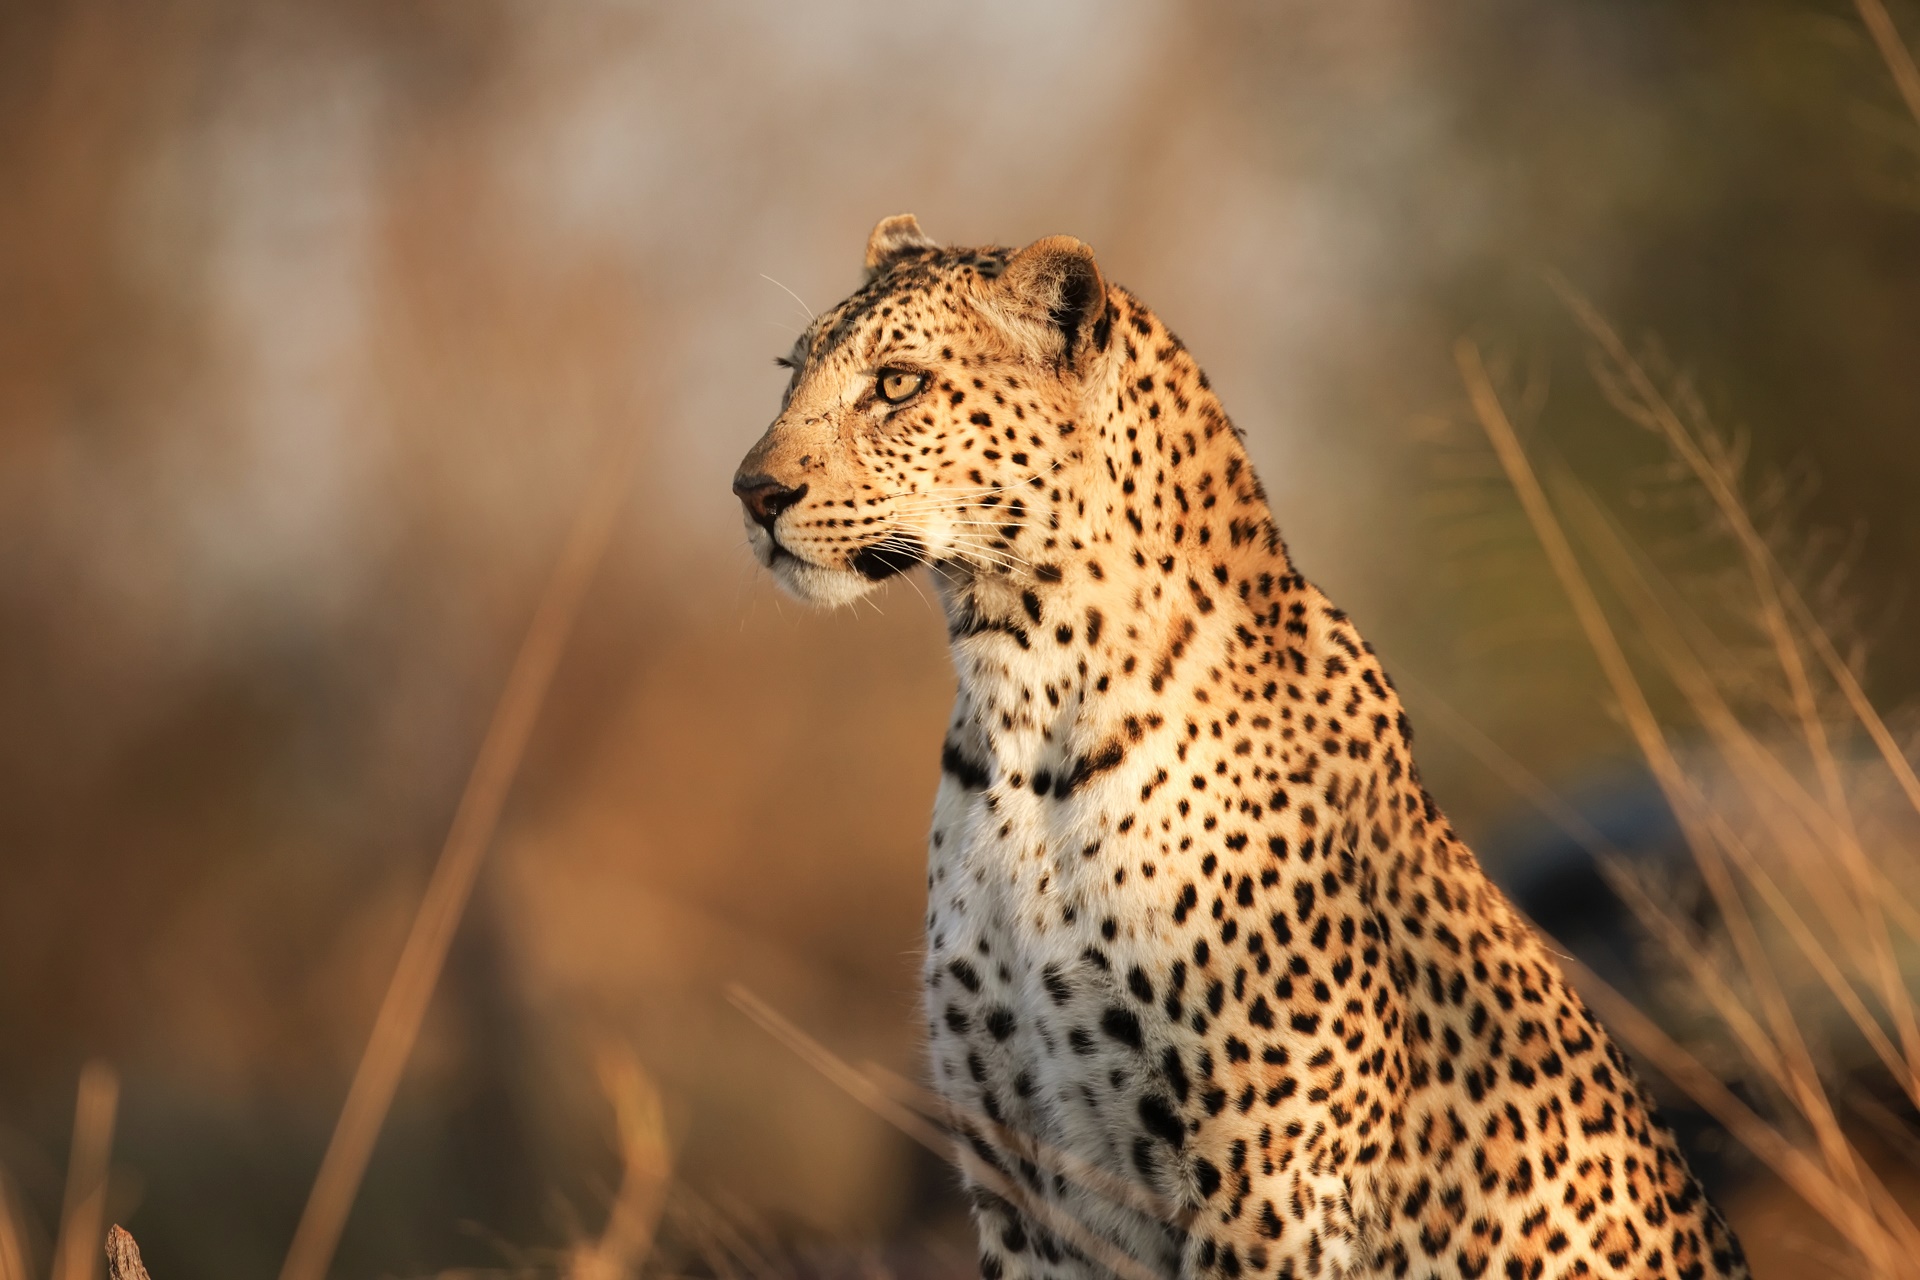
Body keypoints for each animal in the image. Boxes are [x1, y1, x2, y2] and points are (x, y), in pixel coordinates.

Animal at [731, 215, 1748, 1280]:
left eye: (896, 384)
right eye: (790, 373)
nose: (752, 491)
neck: (1018, 701)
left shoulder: (1268, 1178)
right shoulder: (1021, 1178)